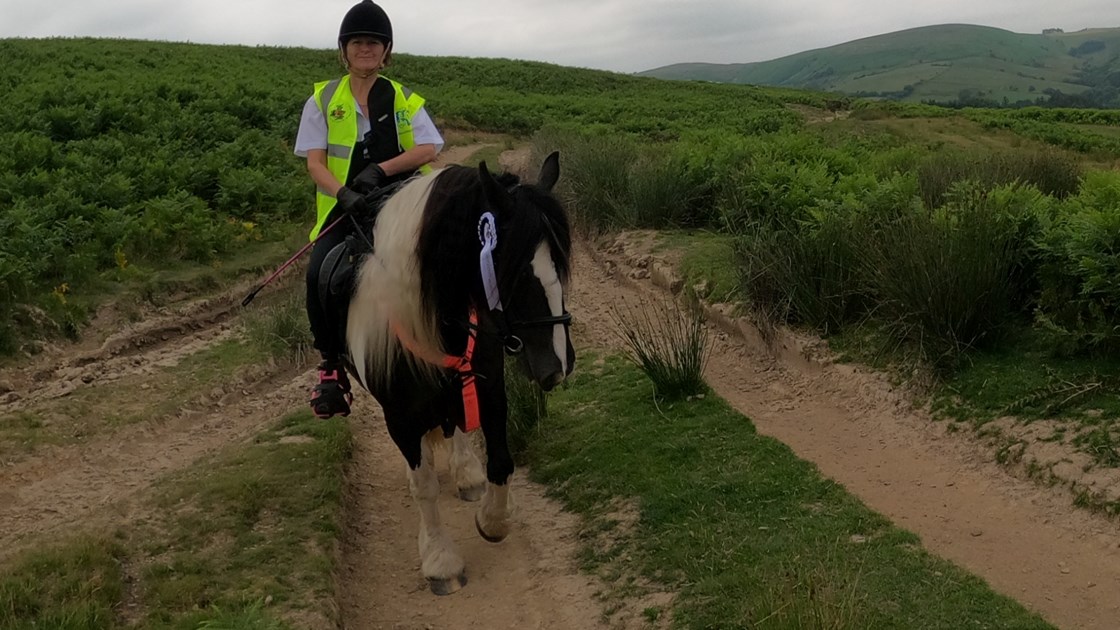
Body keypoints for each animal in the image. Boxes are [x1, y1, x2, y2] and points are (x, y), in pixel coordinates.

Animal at [342, 151, 574, 595]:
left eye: (559, 262)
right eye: (515, 270)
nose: (556, 367)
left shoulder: (490, 386)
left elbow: (500, 460)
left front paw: (493, 520)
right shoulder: (400, 417)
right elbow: (424, 487)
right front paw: (440, 560)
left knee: (456, 428)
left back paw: (467, 474)